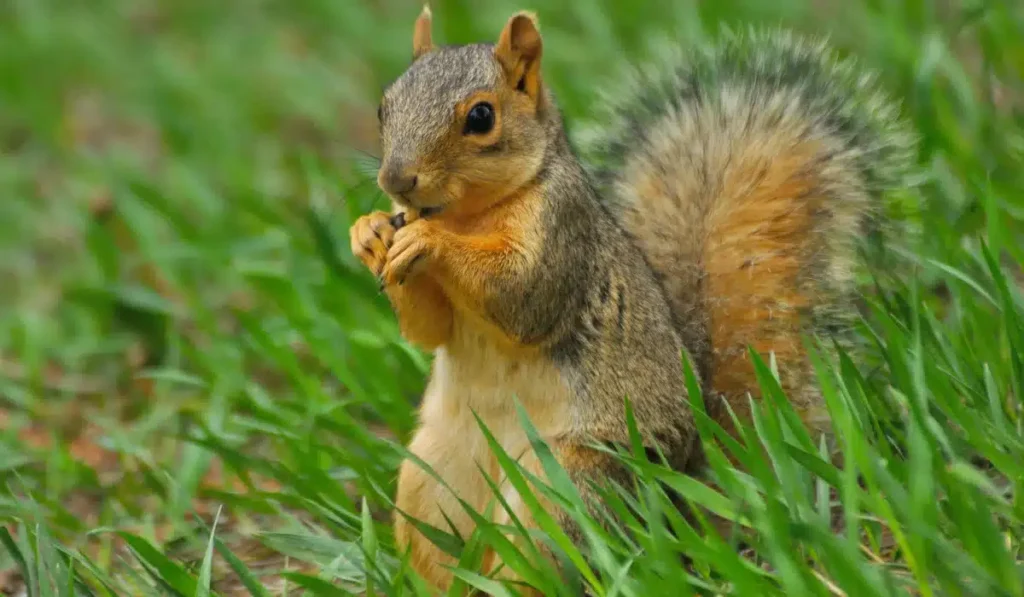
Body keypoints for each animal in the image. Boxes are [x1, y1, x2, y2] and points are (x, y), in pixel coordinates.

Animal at [348, 5, 915, 594]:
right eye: (384, 105)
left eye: (481, 117)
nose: (395, 179)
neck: (467, 215)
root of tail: (678, 496)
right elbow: (430, 329)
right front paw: (368, 232)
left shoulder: (564, 235)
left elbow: (524, 298)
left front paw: (428, 242)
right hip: (433, 477)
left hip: (568, 483)